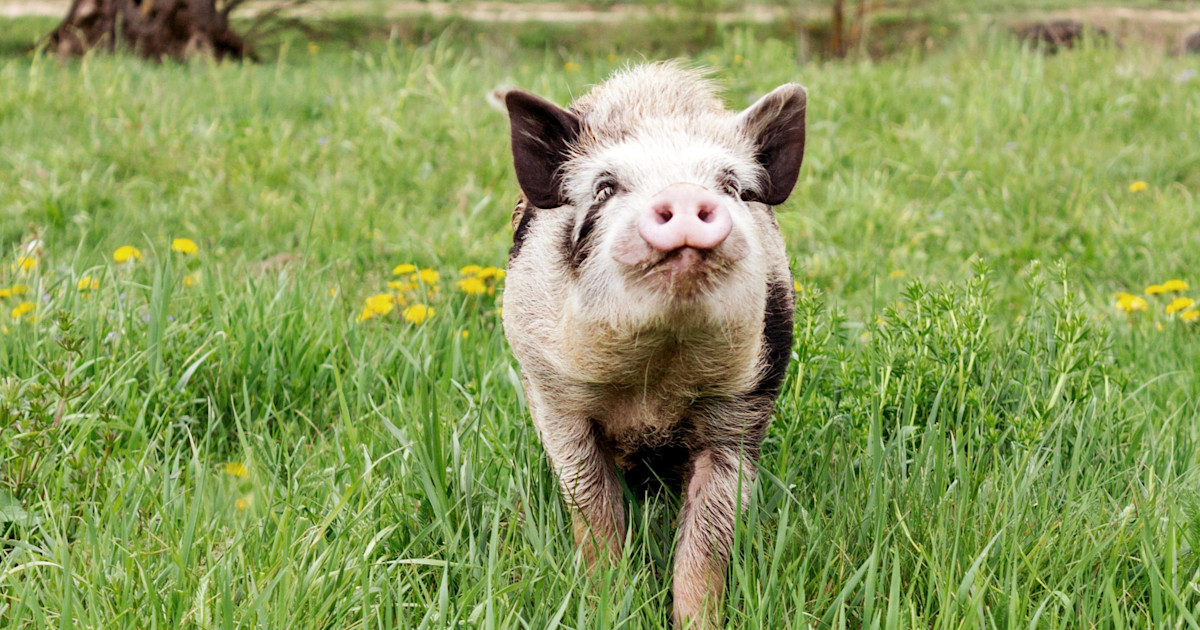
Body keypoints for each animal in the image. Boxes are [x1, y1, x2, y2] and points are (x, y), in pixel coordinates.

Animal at [500, 63, 805, 628]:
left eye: (732, 186)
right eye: (603, 189)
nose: (684, 193)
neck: (655, 381)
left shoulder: (744, 407)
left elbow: (710, 534)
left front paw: (696, 619)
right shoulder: (554, 396)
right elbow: (592, 508)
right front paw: (606, 601)